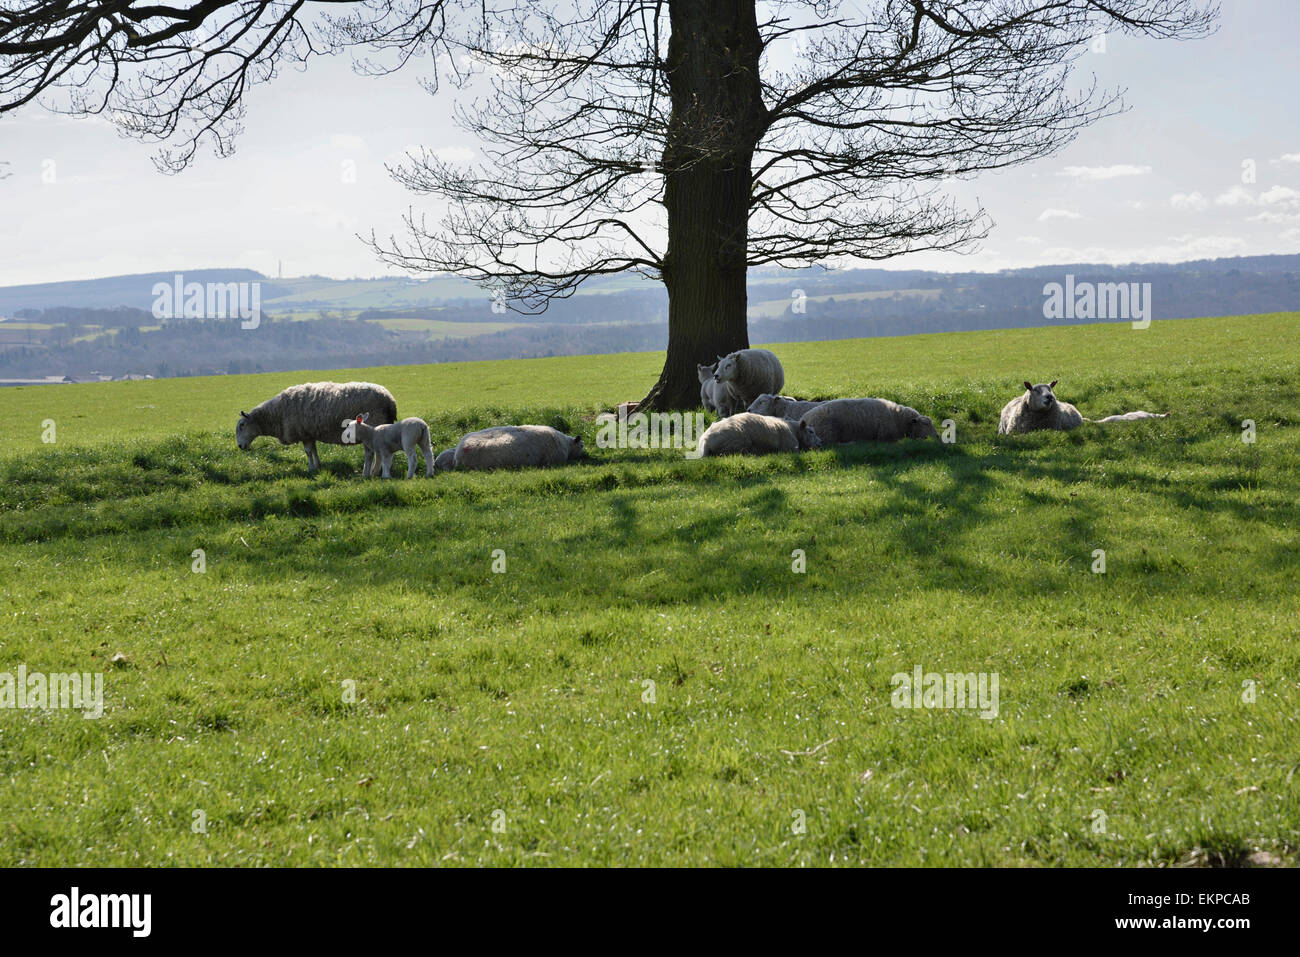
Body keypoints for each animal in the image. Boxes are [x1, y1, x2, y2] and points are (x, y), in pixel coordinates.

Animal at [236, 381, 397, 473]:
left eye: (242, 425)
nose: (240, 446)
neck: (276, 415)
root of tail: (390, 400)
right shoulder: (309, 433)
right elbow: (314, 450)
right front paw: (318, 465)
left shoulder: (303, 433)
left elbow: (307, 452)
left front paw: (311, 468)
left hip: (371, 426)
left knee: (370, 453)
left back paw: (369, 472)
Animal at [798, 398, 939, 445]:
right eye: (925, 424)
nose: (937, 437)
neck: (898, 418)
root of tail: (804, 419)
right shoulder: (886, 436)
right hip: (829, 434)